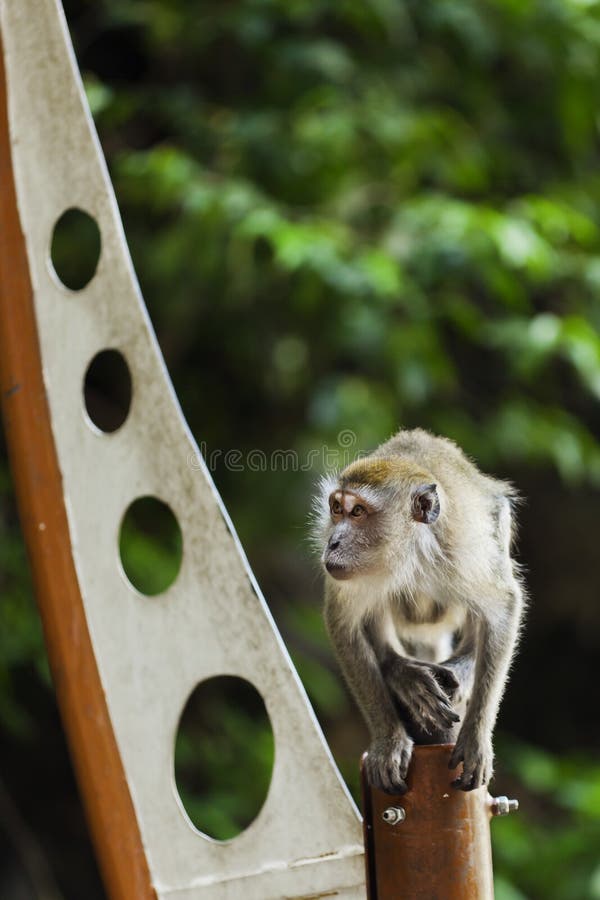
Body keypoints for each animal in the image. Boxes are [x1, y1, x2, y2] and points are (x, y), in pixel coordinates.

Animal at [313, 428, 525, 794]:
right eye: (337, 508)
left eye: (358, 512)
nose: (333, 542)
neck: (410, 550)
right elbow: (343, 623)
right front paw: (388, 738)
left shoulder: (462, 552)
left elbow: (505, 605)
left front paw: (476, 736)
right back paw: (400, 670)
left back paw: (465, 663)